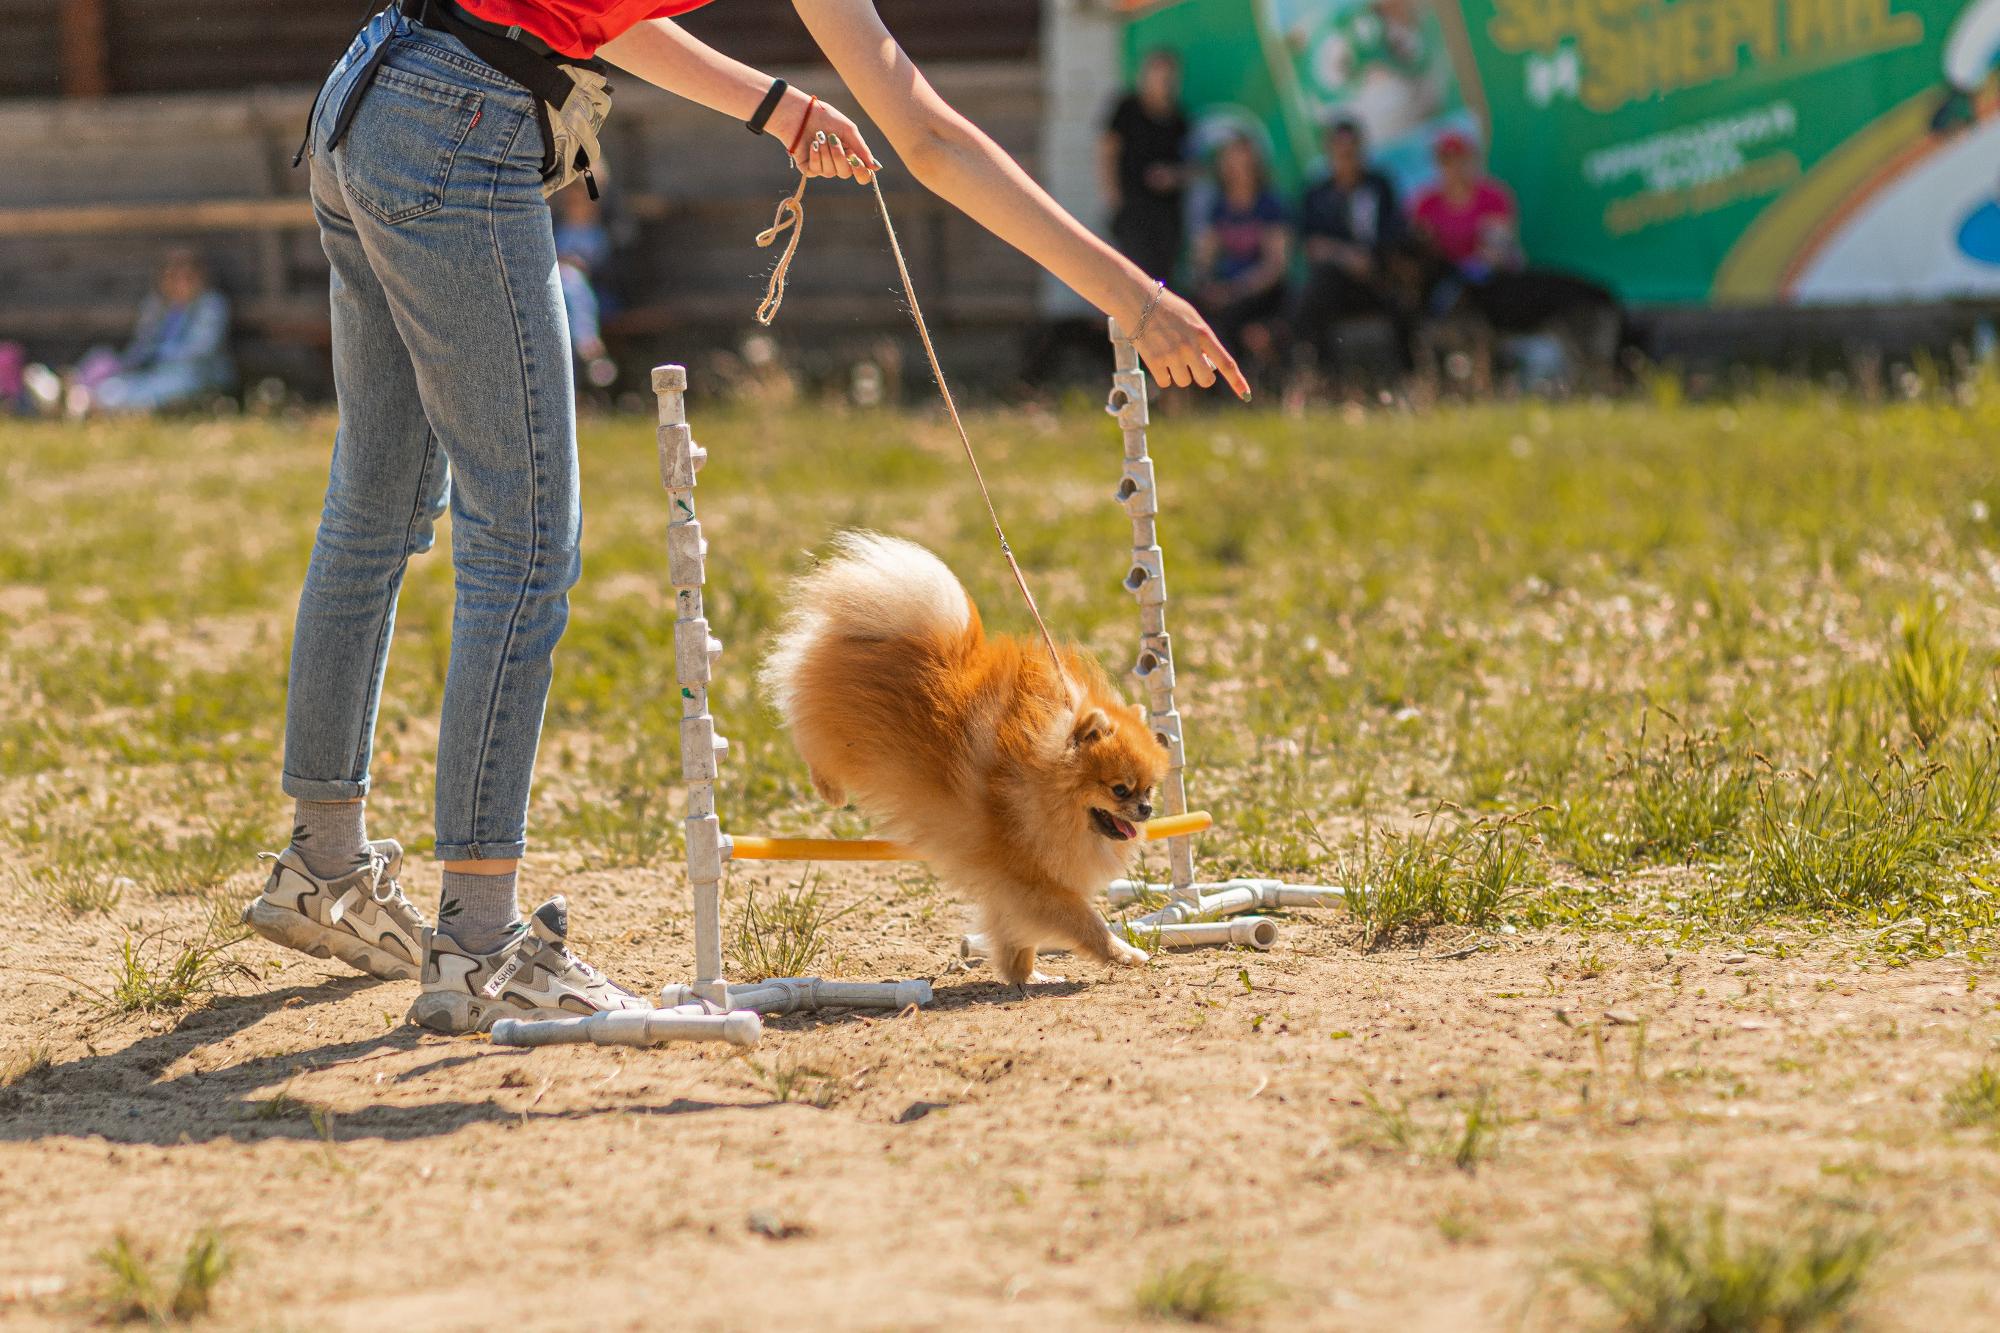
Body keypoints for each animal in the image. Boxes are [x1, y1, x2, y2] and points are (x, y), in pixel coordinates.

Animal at [764, 536, 1168, 980]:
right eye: (1120, 790)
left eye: (1150, 789)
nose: (1146, 809)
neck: (1039, 782)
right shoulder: (1032, 881)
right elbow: (1086, 921)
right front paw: (1124, 952)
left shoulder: (1011, 886)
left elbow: (1015, 939)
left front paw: (1026, 976)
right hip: (838, 737)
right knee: (809, 743)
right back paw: (831, 791)